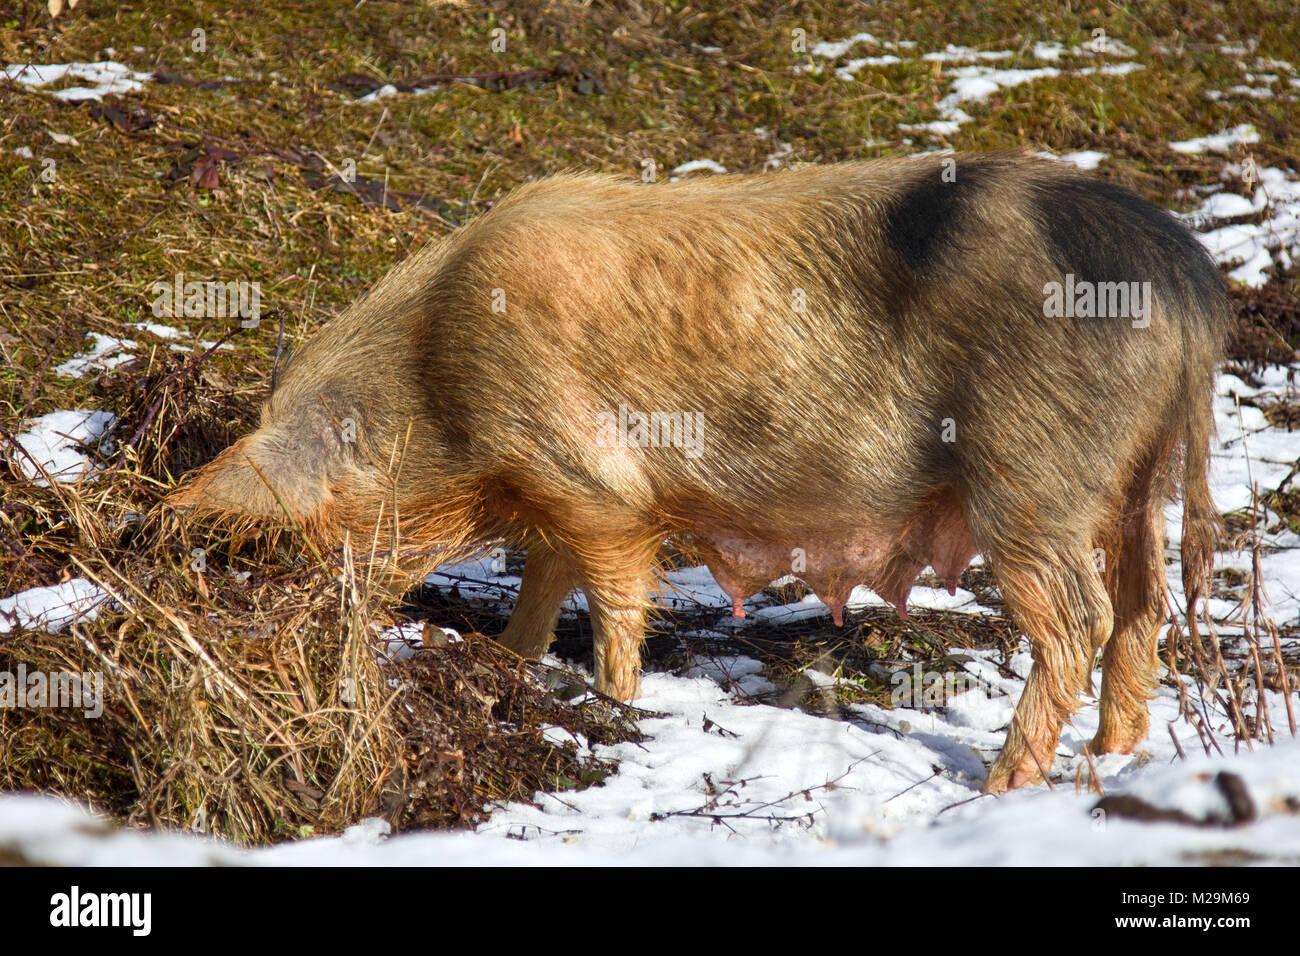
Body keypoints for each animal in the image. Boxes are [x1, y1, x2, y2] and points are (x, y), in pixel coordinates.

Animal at [169, 153, 1230, 792]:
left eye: (299, 534)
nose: (317, 623)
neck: (437, 390)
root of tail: (1182, 282)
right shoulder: (552, 494)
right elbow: (546, 576)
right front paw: (512, 660)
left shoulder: (594, 483)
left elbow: (611, 594)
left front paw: (613, 699)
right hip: (1137, 474)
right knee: (1142, 607)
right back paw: (1114, 755)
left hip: (1034, 471)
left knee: (1081, 618)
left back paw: (1003, 782)